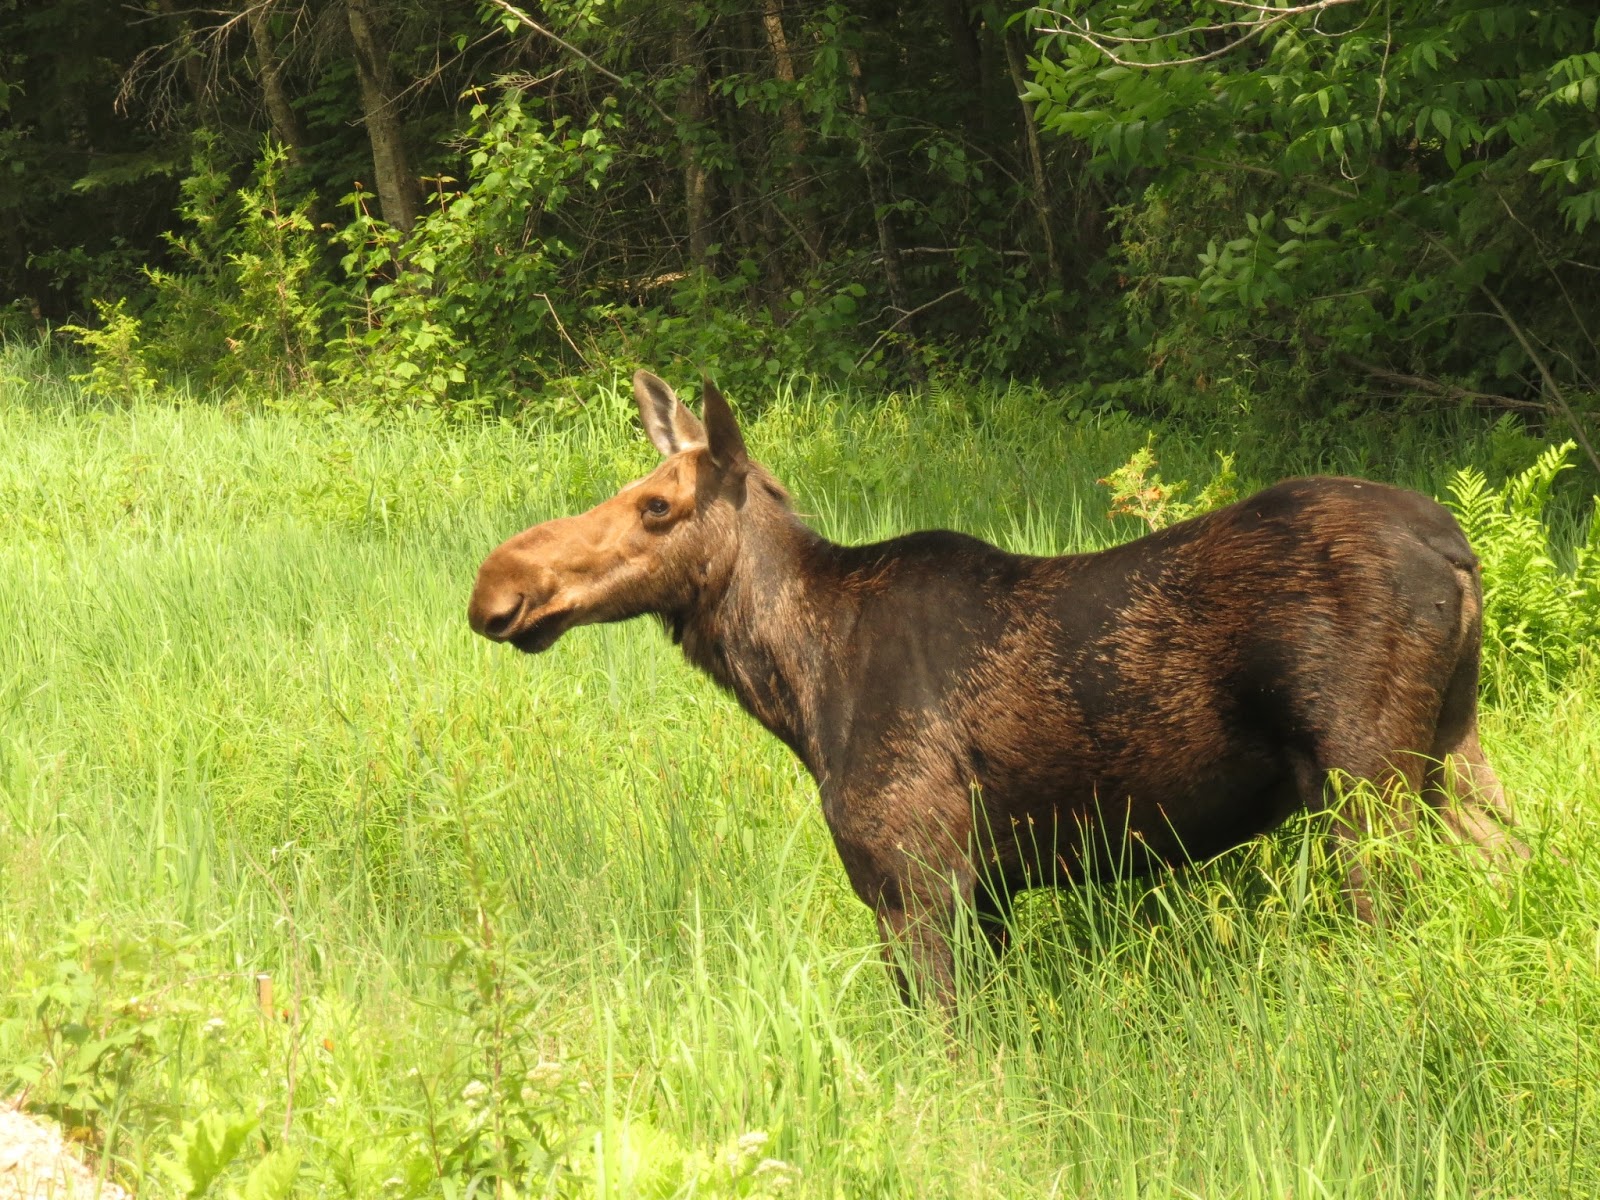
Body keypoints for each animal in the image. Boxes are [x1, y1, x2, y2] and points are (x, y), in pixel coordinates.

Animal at [468, 371, 1520, 1006]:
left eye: (655, 505)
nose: (497, 585)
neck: (795, 687)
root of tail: (1457, 550)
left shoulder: (913, 873)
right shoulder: (990, 889)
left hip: (1365, 782)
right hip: (1453, 751)